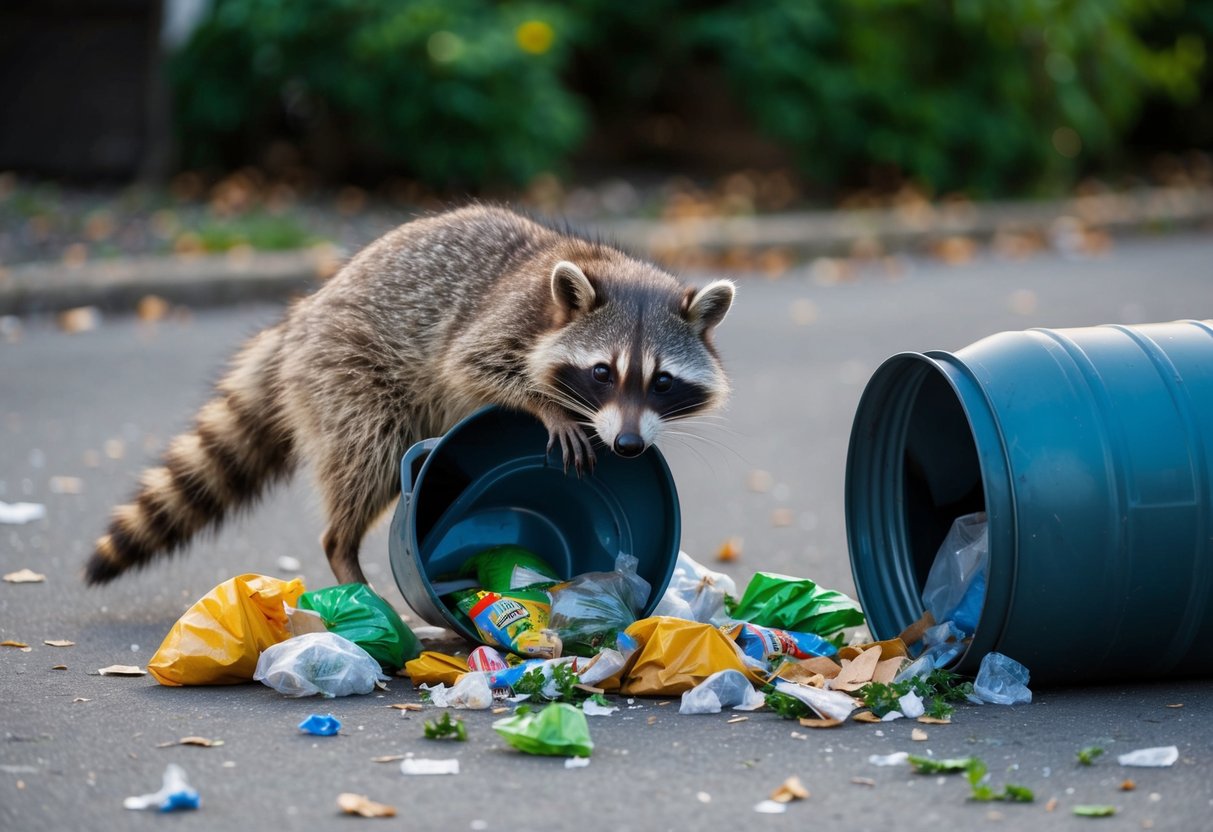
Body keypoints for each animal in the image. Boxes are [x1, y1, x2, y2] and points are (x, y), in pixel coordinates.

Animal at [86, 204, 735, 587]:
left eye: (662, 382)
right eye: (602, 372)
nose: (626, 445)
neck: (609, 271)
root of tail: (303, 315)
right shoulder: (506, 318)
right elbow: (470, 366)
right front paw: (548, 407)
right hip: (346, 373)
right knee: (369, 454)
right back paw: (345, 555)